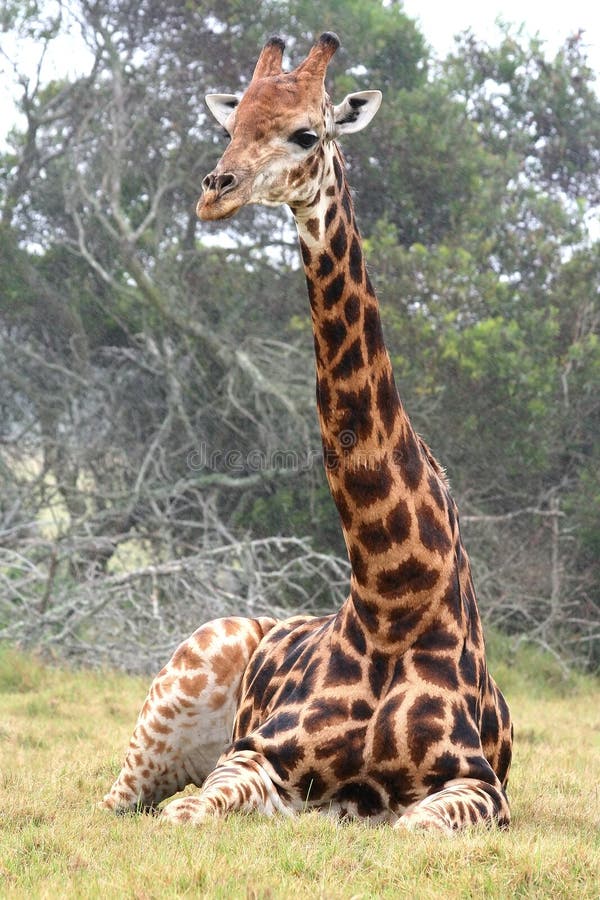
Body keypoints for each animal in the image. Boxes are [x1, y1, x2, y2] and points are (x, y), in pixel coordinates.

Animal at [101, 32, 512, 833]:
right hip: (178, 689)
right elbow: (190, 813)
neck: (391, 600)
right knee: (119, 800)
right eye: (234, 121)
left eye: (306, 133)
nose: (215, 189)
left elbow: (415, 825)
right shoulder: (255, 755)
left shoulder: (482, 786)